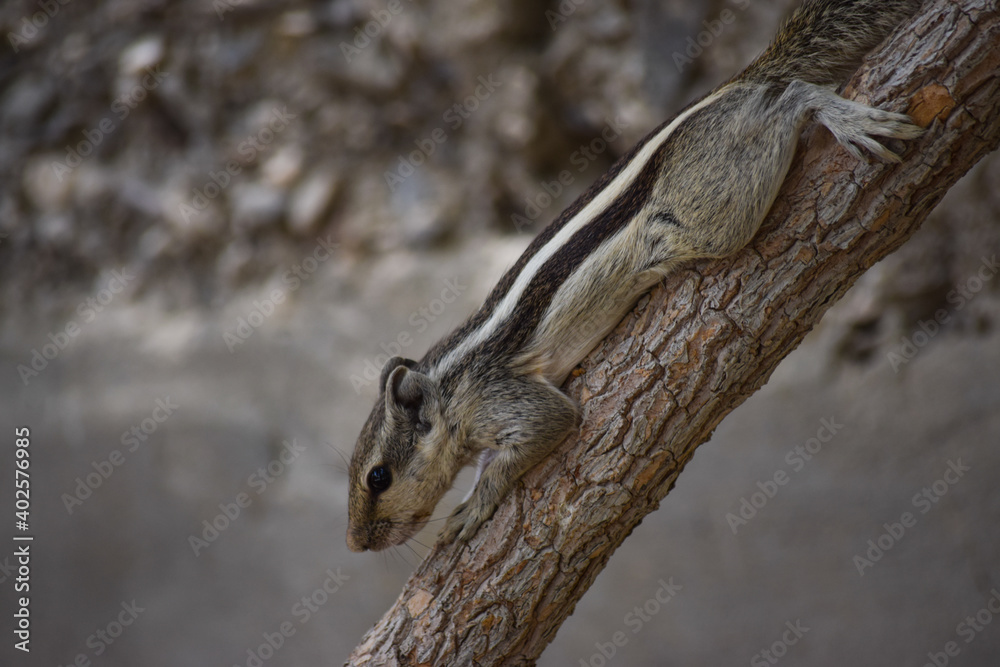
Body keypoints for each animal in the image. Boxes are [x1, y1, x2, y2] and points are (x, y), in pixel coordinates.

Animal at [346, 0, 924, 552]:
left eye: (378, 477)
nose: (355, 544)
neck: (448, 387)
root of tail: (733, 85)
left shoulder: (502, 397)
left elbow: (545, 426)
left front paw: (474, 504)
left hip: (713, 213)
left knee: (793, 96)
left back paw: (839, 115)